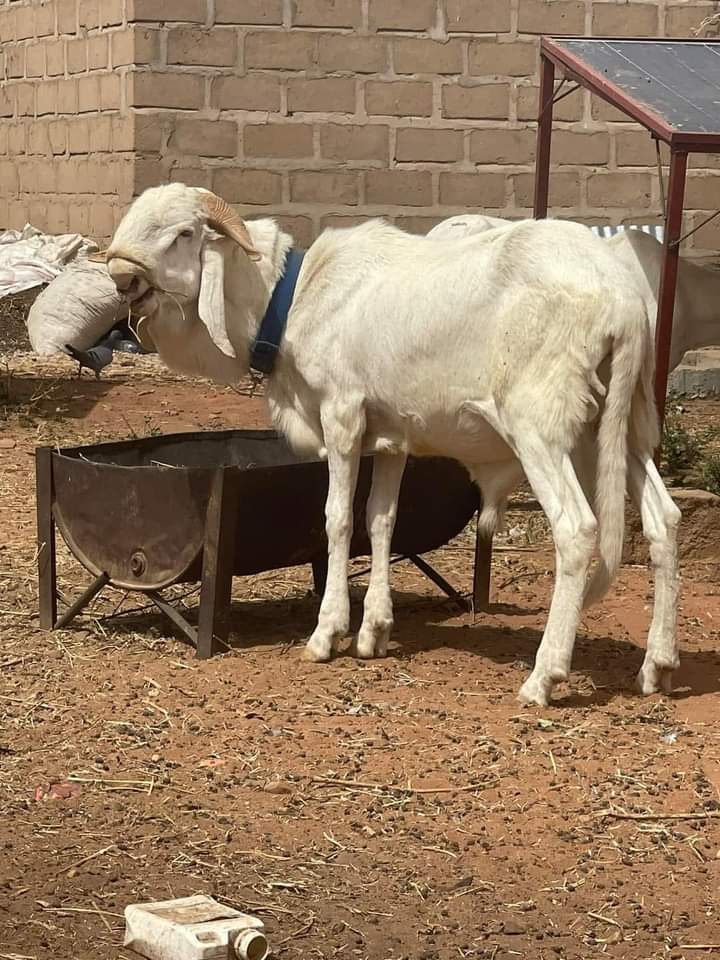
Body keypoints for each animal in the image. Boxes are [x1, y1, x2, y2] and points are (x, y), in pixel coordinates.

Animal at [106, 184, 680, 707]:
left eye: (184, 234)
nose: (122, 279)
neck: (293, 301)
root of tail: (622, 300)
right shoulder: (389, 436)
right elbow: (381, 520)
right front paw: (374, 632)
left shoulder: (341, 413)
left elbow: (338, 519)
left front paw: (327, 634)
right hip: (614, 424)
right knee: (663, 520)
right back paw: (658, 665)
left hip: (541, 423)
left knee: (577, 530)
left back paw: (545, 676)